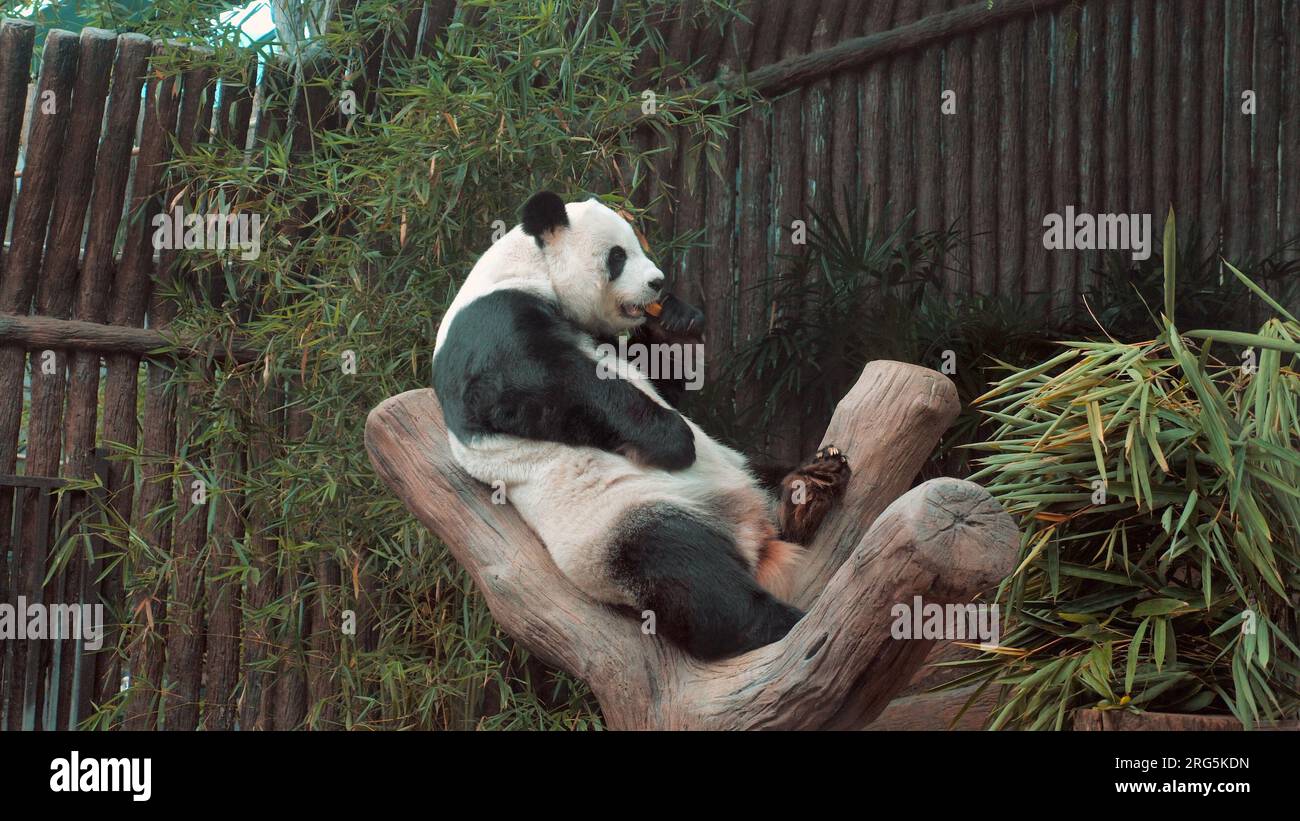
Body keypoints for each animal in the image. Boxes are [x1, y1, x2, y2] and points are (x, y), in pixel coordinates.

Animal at [432, 191, 850, 660]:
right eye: (618, 256)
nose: (657, 282)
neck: (530, 269)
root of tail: (752, 535)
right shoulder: (490, 321)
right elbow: (532, 381)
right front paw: (674, 440)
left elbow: (659, 374)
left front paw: (678, 320)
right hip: (620, 523)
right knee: (689, 574)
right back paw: (781, 622)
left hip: (736, 469)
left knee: (765, 484)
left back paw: (812, 482)